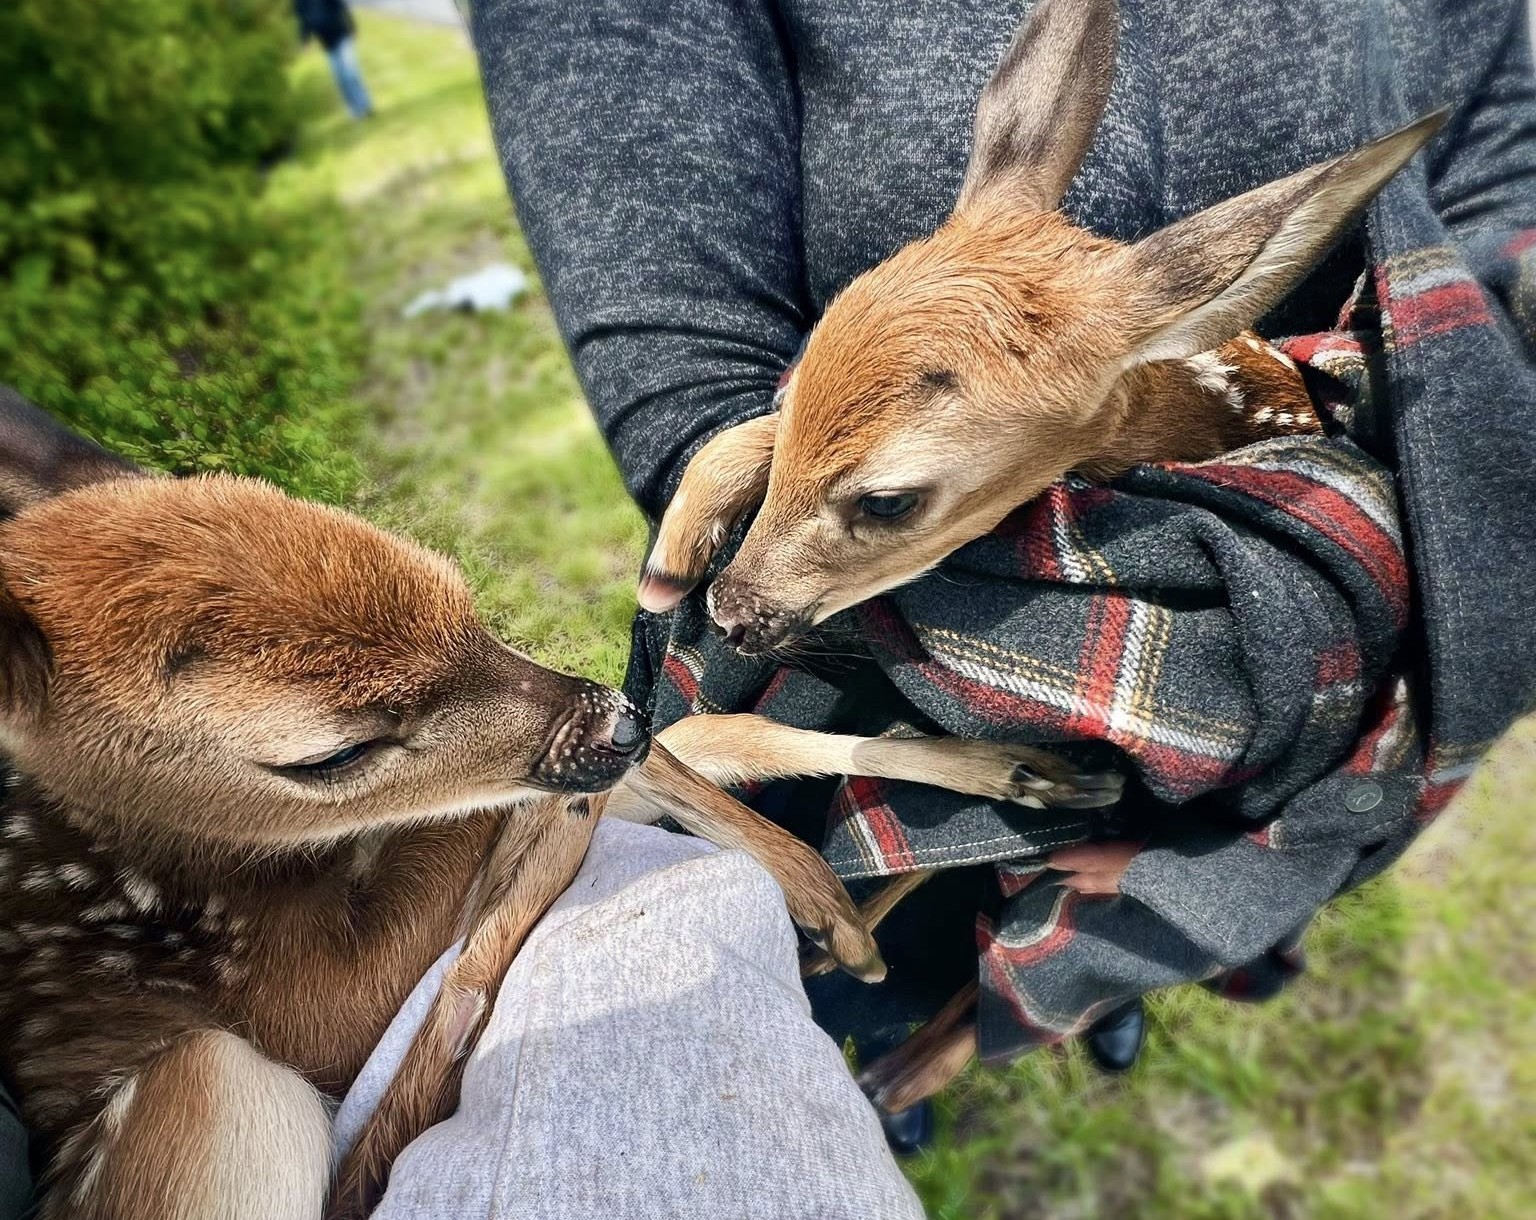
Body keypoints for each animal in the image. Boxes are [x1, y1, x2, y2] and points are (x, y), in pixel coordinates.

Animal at [0, 386, 1116, 1219]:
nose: (614, 718)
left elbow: (720, 741)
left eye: (459, 592)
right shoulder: (299, 1005)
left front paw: (1017, 782)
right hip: (215, 1082)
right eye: (333, 752)